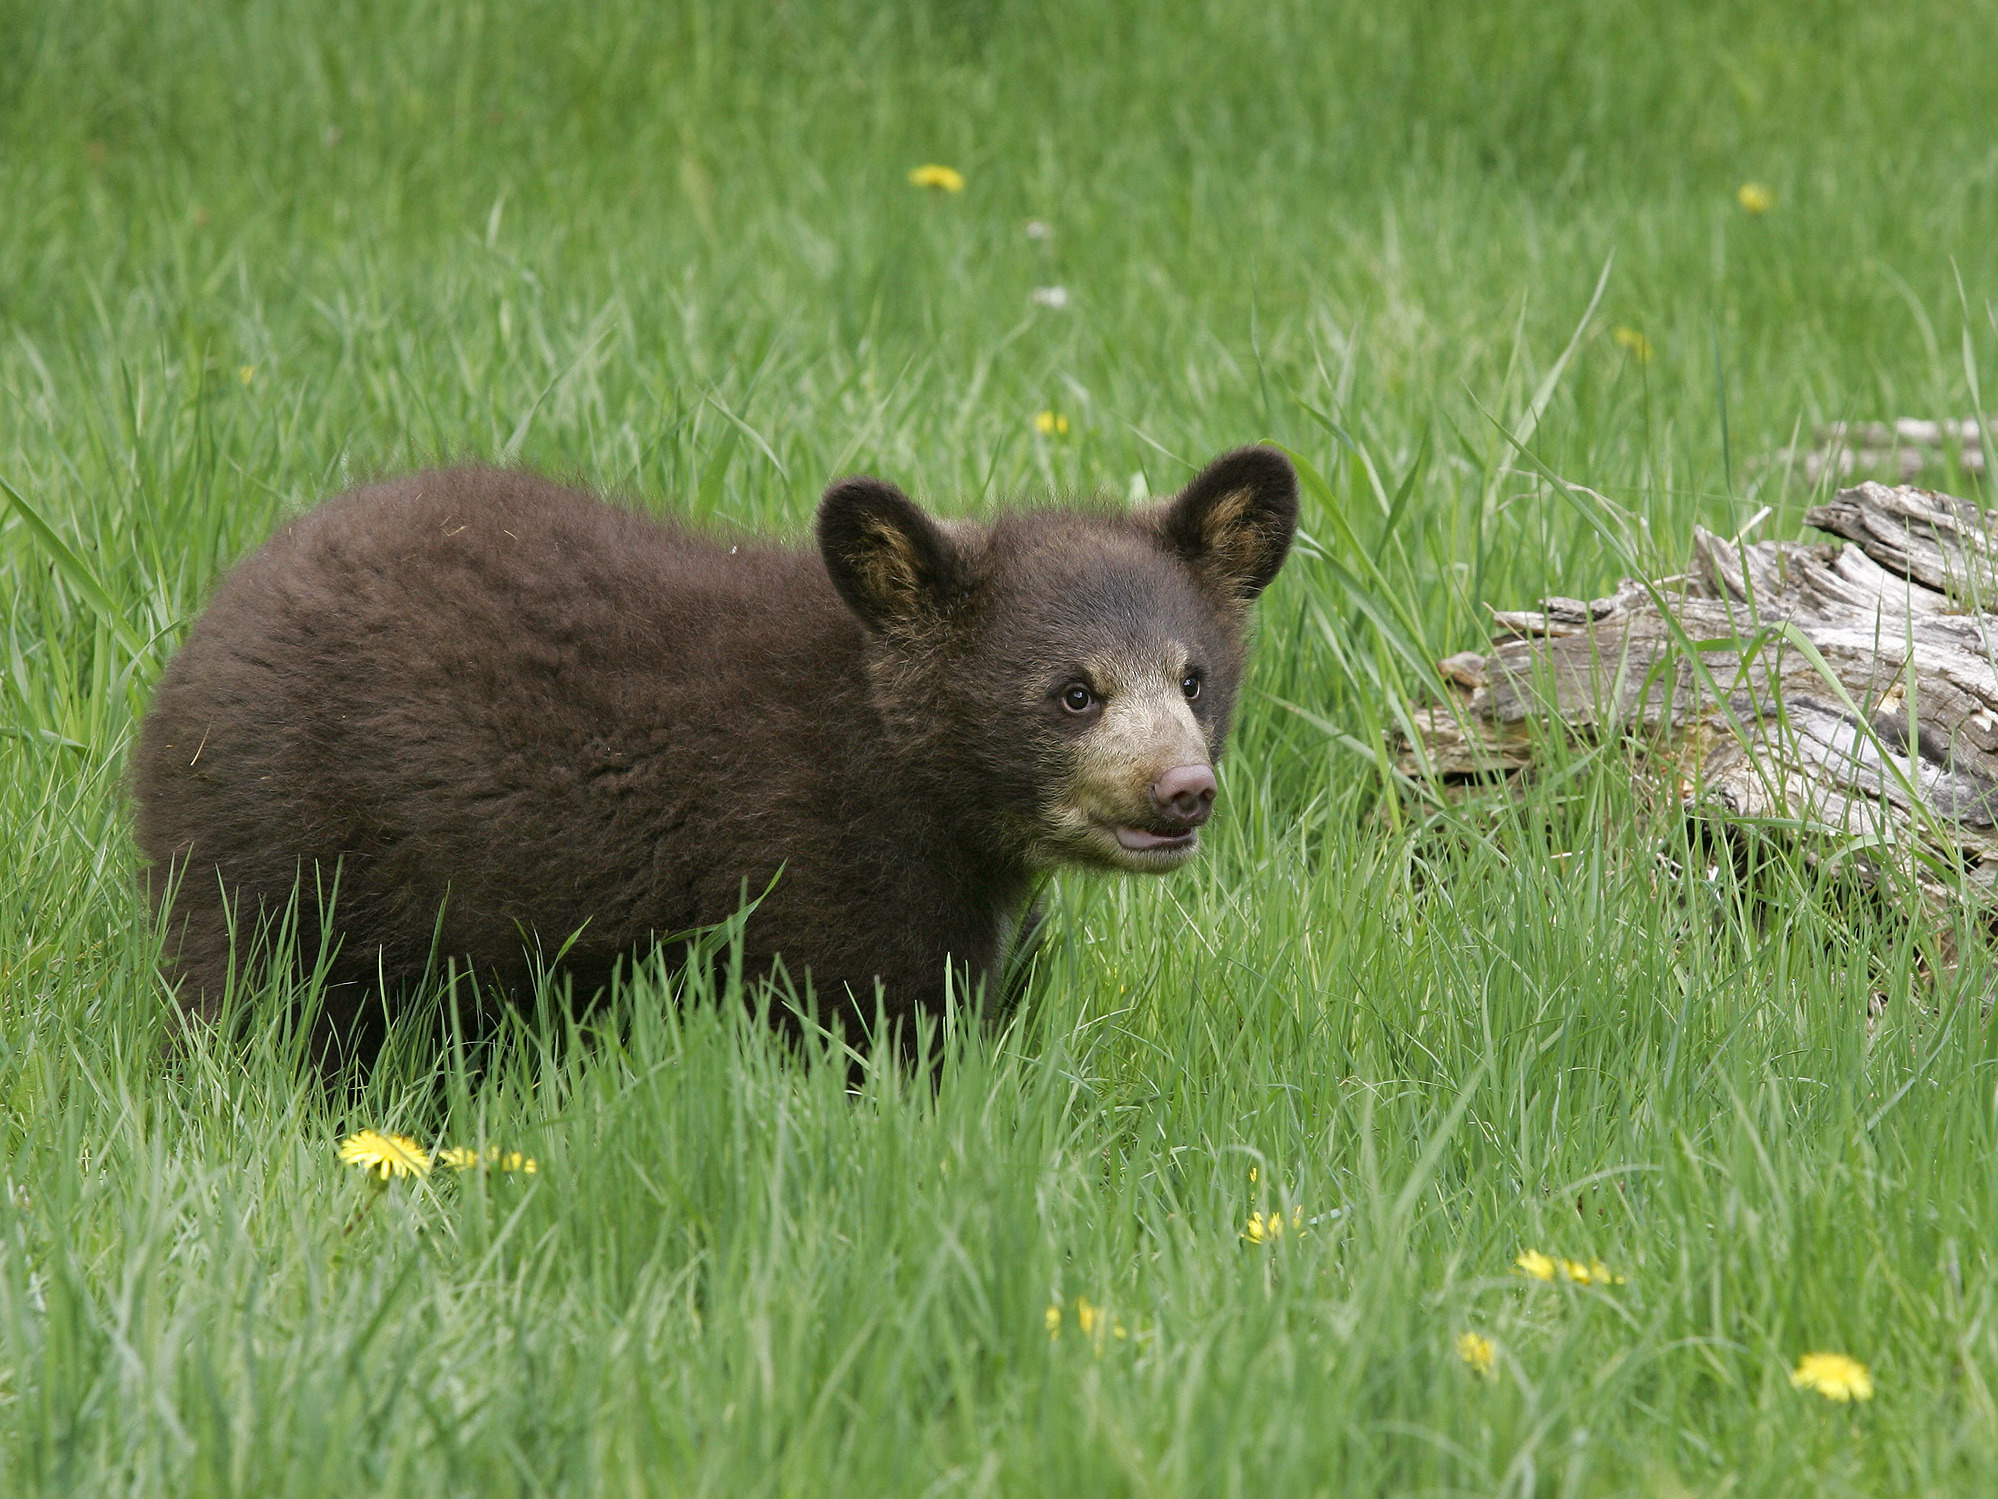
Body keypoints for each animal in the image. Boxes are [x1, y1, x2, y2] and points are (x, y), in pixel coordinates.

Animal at [130, 445, 1298, 1065]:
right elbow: (860, 1032)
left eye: (1193, 678)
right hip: (273, 840)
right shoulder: (816, 881)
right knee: (246, 992)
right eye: (1074, 692)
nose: (1183, 790)